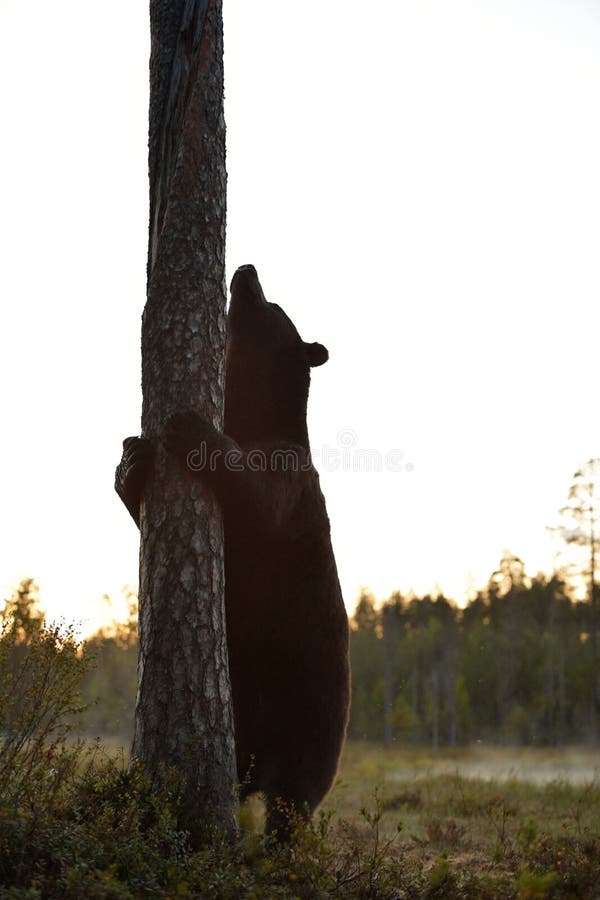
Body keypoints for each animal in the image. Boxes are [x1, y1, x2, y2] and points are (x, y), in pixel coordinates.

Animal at [115, 264, 350, 839]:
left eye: (275, 306)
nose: (246, 270)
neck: (253, 412)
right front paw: (132, 458)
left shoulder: (288, 477)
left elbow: (253, 496)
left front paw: (186, 426)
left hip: (312, 714)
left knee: (296, 796)